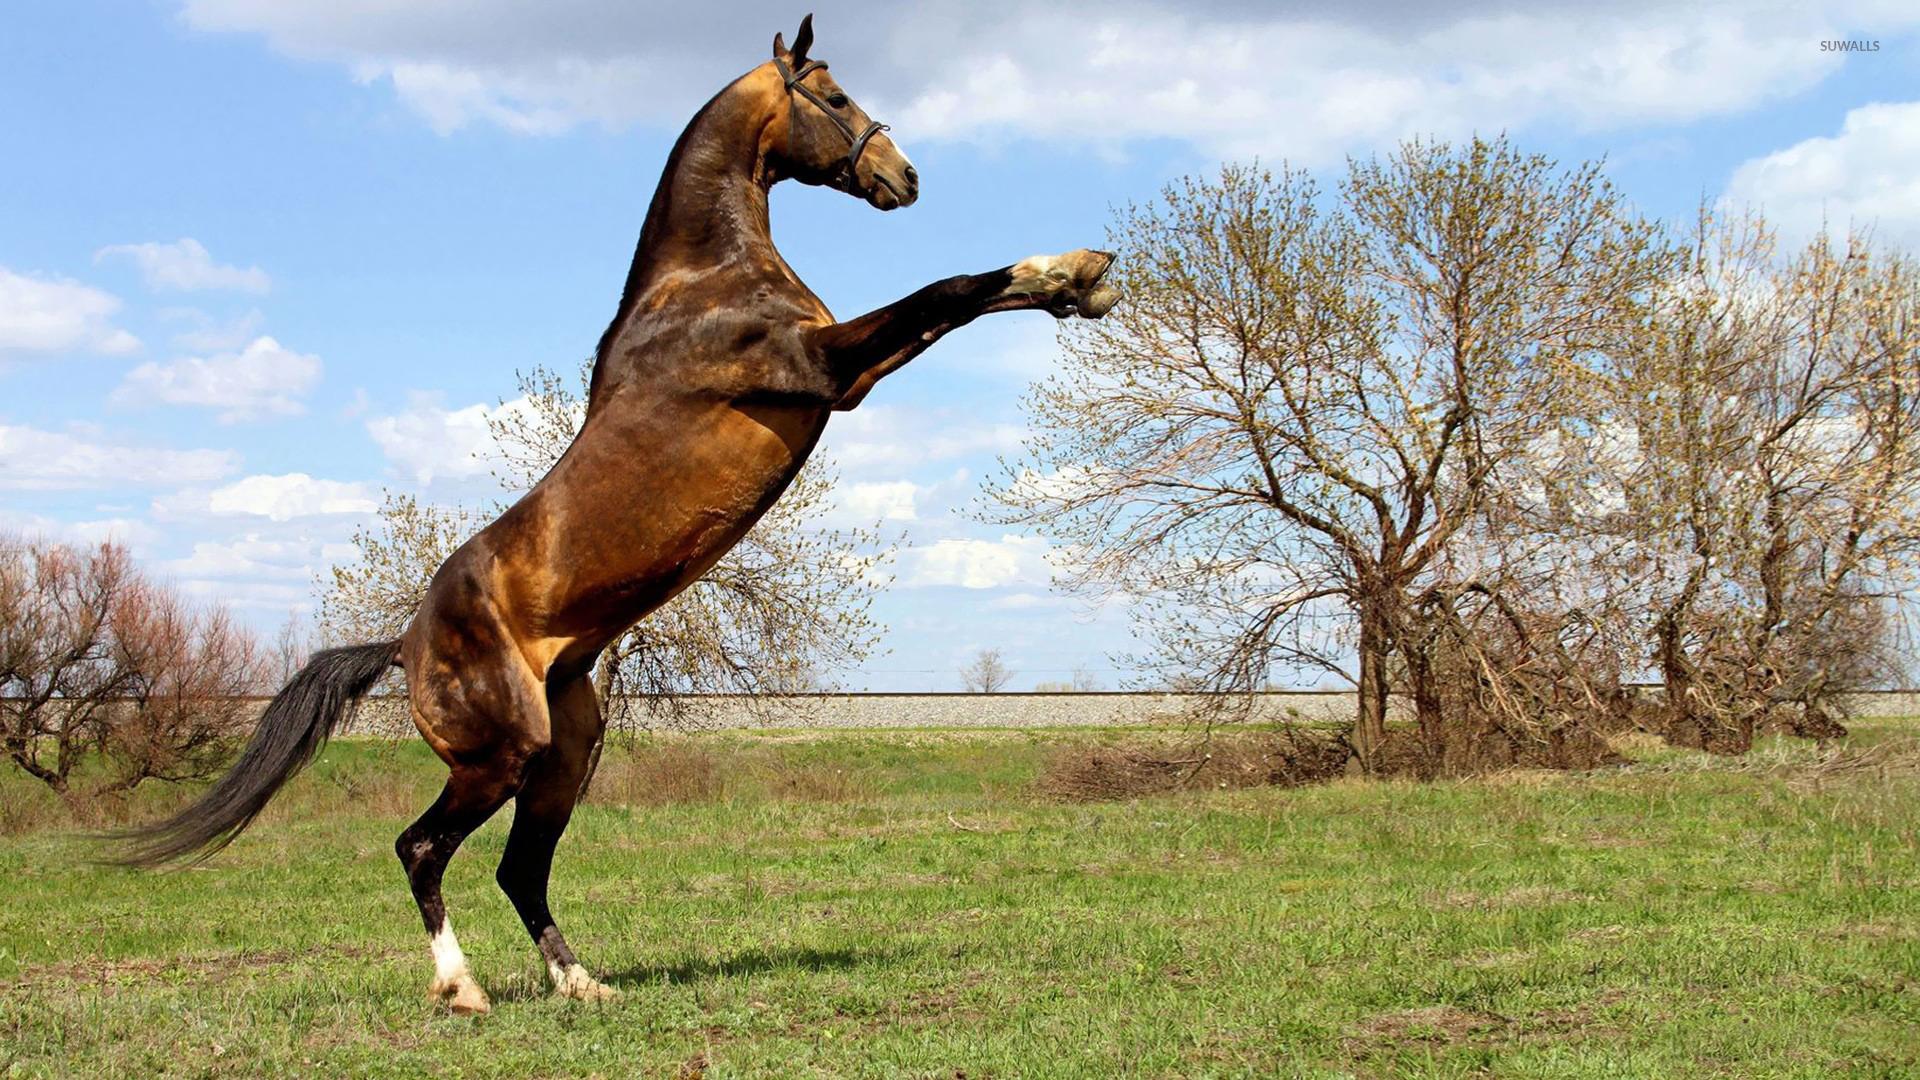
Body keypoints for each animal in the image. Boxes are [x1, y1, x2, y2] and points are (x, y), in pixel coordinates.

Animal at [117, 14, 1118, 1014]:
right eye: (834, 97)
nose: (905, 177)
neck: (704, 282)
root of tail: (402, 644)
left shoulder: (851, 377)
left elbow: (958, 304)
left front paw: (1079, 283)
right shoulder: (821, 368)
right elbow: (946, 292)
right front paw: (1074, 271)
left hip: (566, 754)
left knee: (519, 868)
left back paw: (581, 982)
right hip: (499, 754)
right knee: (421, 848)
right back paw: (463, 989)